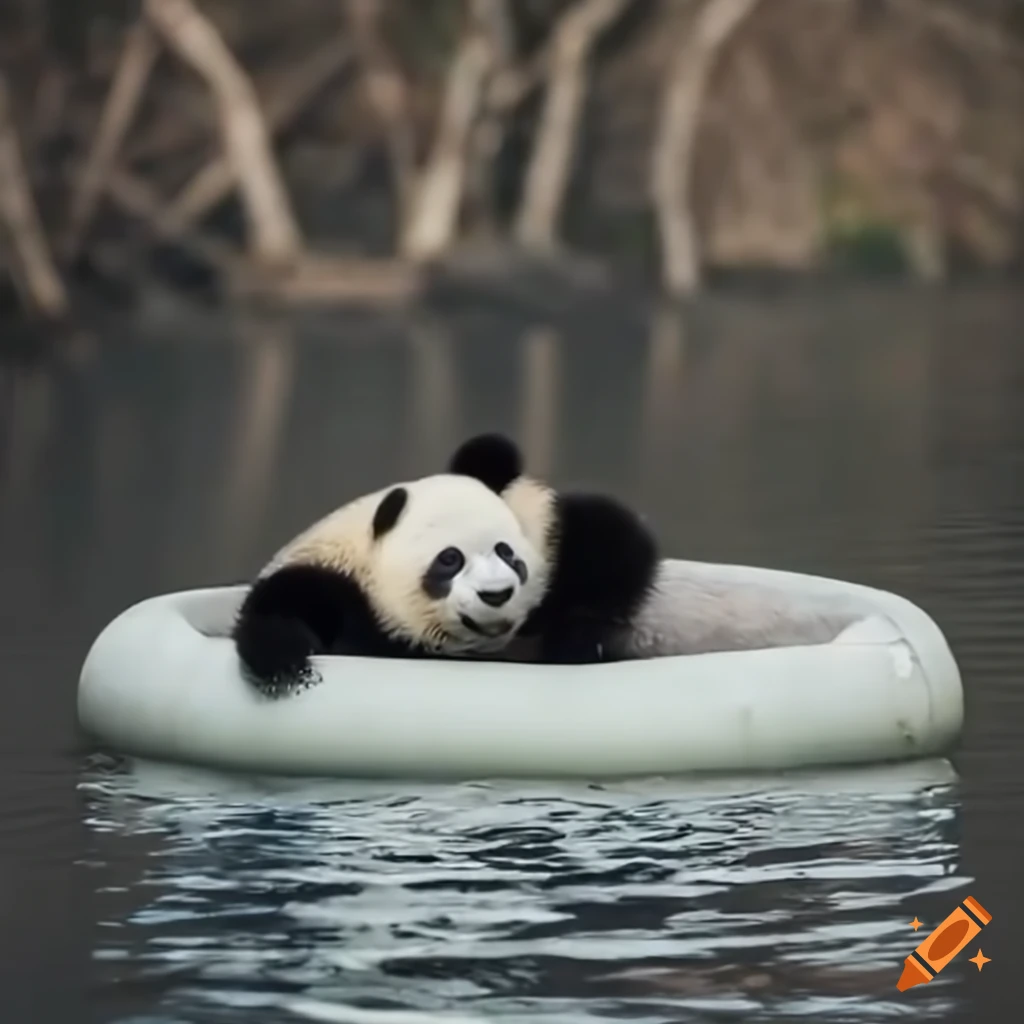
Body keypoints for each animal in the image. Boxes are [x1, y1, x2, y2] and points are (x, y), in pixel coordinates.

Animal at [231, 471, 548, 698]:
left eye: (506, 553)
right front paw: (285, 664)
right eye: (450, 559)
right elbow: (279, 607)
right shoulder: (330, 582)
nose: (496, 594)